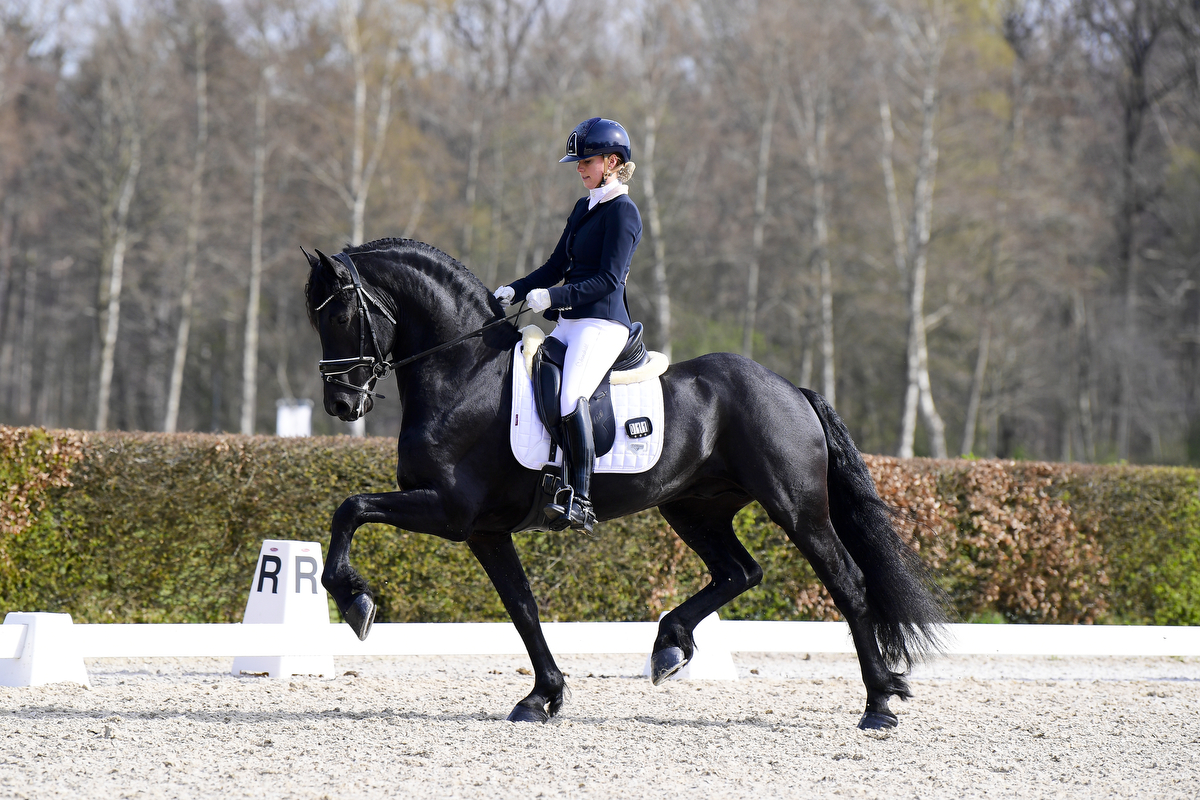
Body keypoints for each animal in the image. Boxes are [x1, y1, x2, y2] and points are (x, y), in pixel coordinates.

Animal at [303, 237, 948, 730]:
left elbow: (350, 507)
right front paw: (543, 697)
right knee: (741, 571)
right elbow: (522, 608)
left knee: (848, 584)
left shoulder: (449, 510)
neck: (463, 374)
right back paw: (670, 644)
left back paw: (879, 704)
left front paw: (355, 600)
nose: (341, 404)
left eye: (339, 316)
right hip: (692, 508)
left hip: (796, 508)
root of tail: (791, 389)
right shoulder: (484, 531)